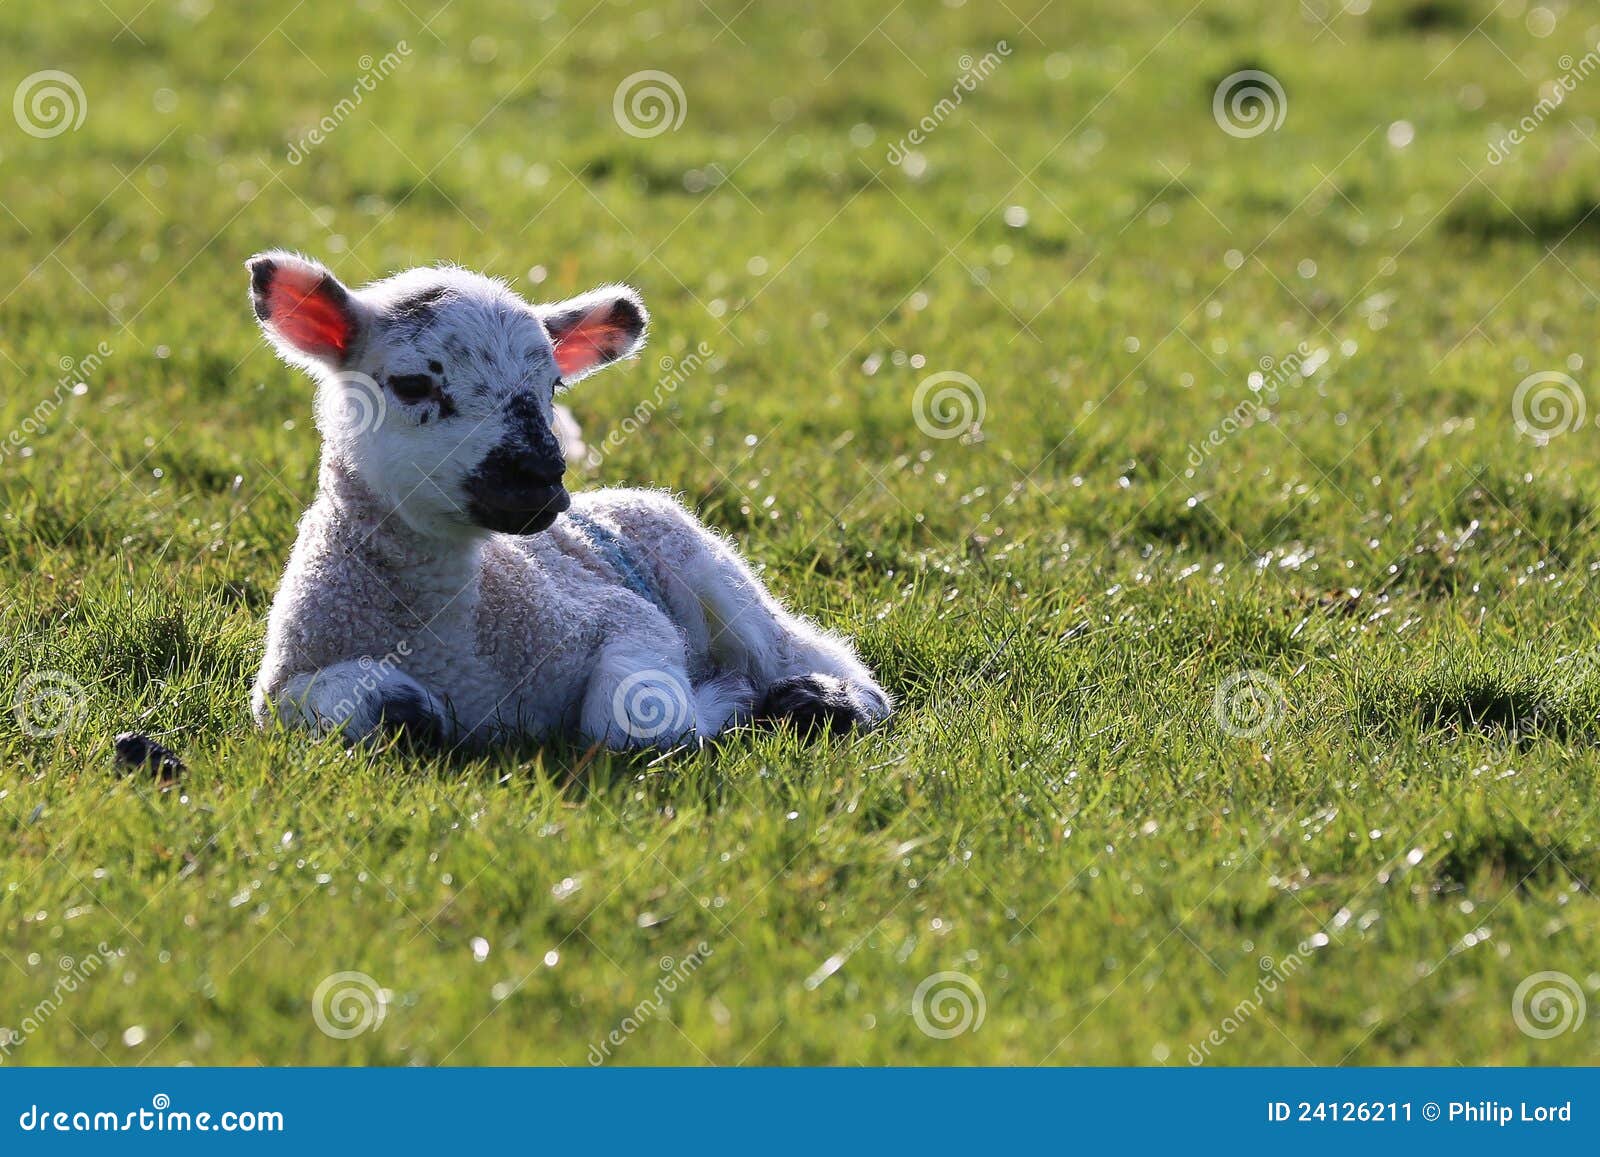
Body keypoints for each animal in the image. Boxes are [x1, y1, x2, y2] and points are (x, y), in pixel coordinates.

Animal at [246, 252, 892, 750]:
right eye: (412, 384)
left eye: (552, 386)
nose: (540, 475)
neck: (448, 639)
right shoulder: (283, 687)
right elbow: (388, 711)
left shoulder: (621, 614)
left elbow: (633, 724)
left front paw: (726, 699)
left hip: (716, 578)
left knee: (799, 648)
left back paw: (827, 698)